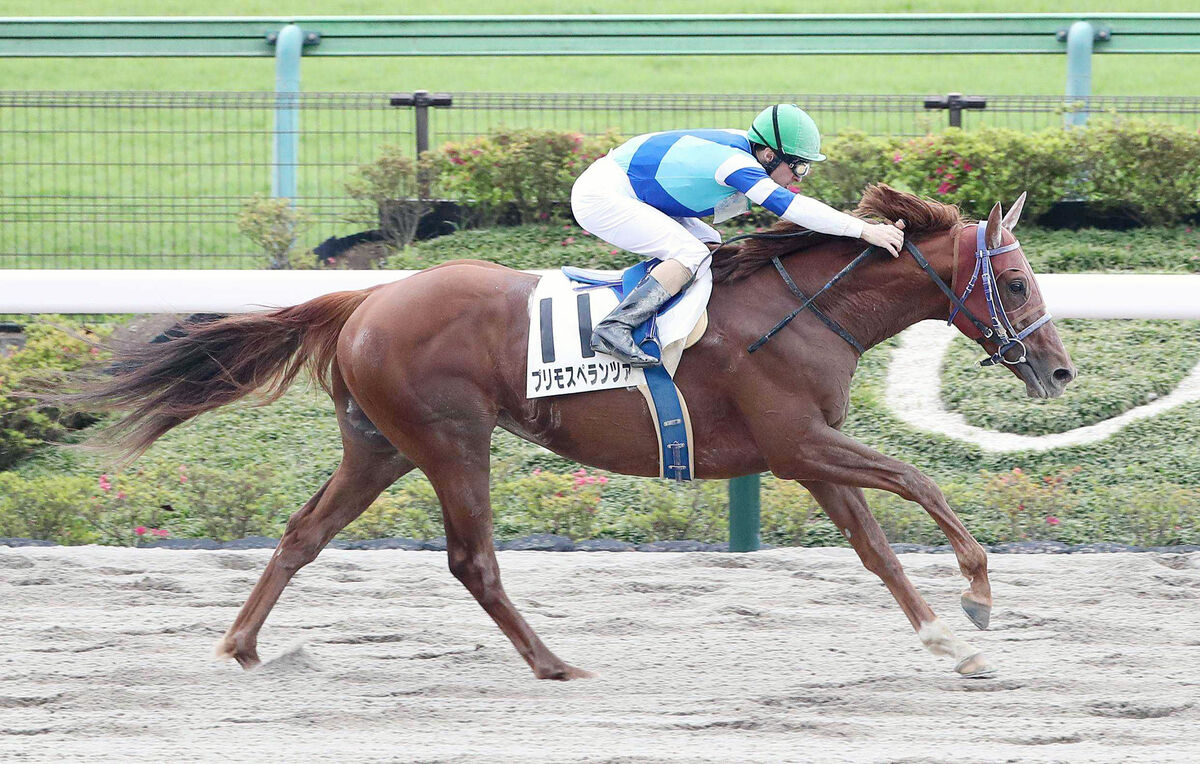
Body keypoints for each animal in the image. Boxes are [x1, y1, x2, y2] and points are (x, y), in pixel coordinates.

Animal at [66, 183, 1074, 680]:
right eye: (1016, 282)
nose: (1059, 371)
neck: (803, 310)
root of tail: (368, 296)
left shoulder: (805, 457)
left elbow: (876, 549)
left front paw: (952, 644)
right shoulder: (798, 445)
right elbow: (919, 481)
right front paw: (978, 601)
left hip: (380, 446)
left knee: (302, 534)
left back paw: (241, 647)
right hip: (452, 440)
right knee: (471, 559)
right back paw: (553, 663)